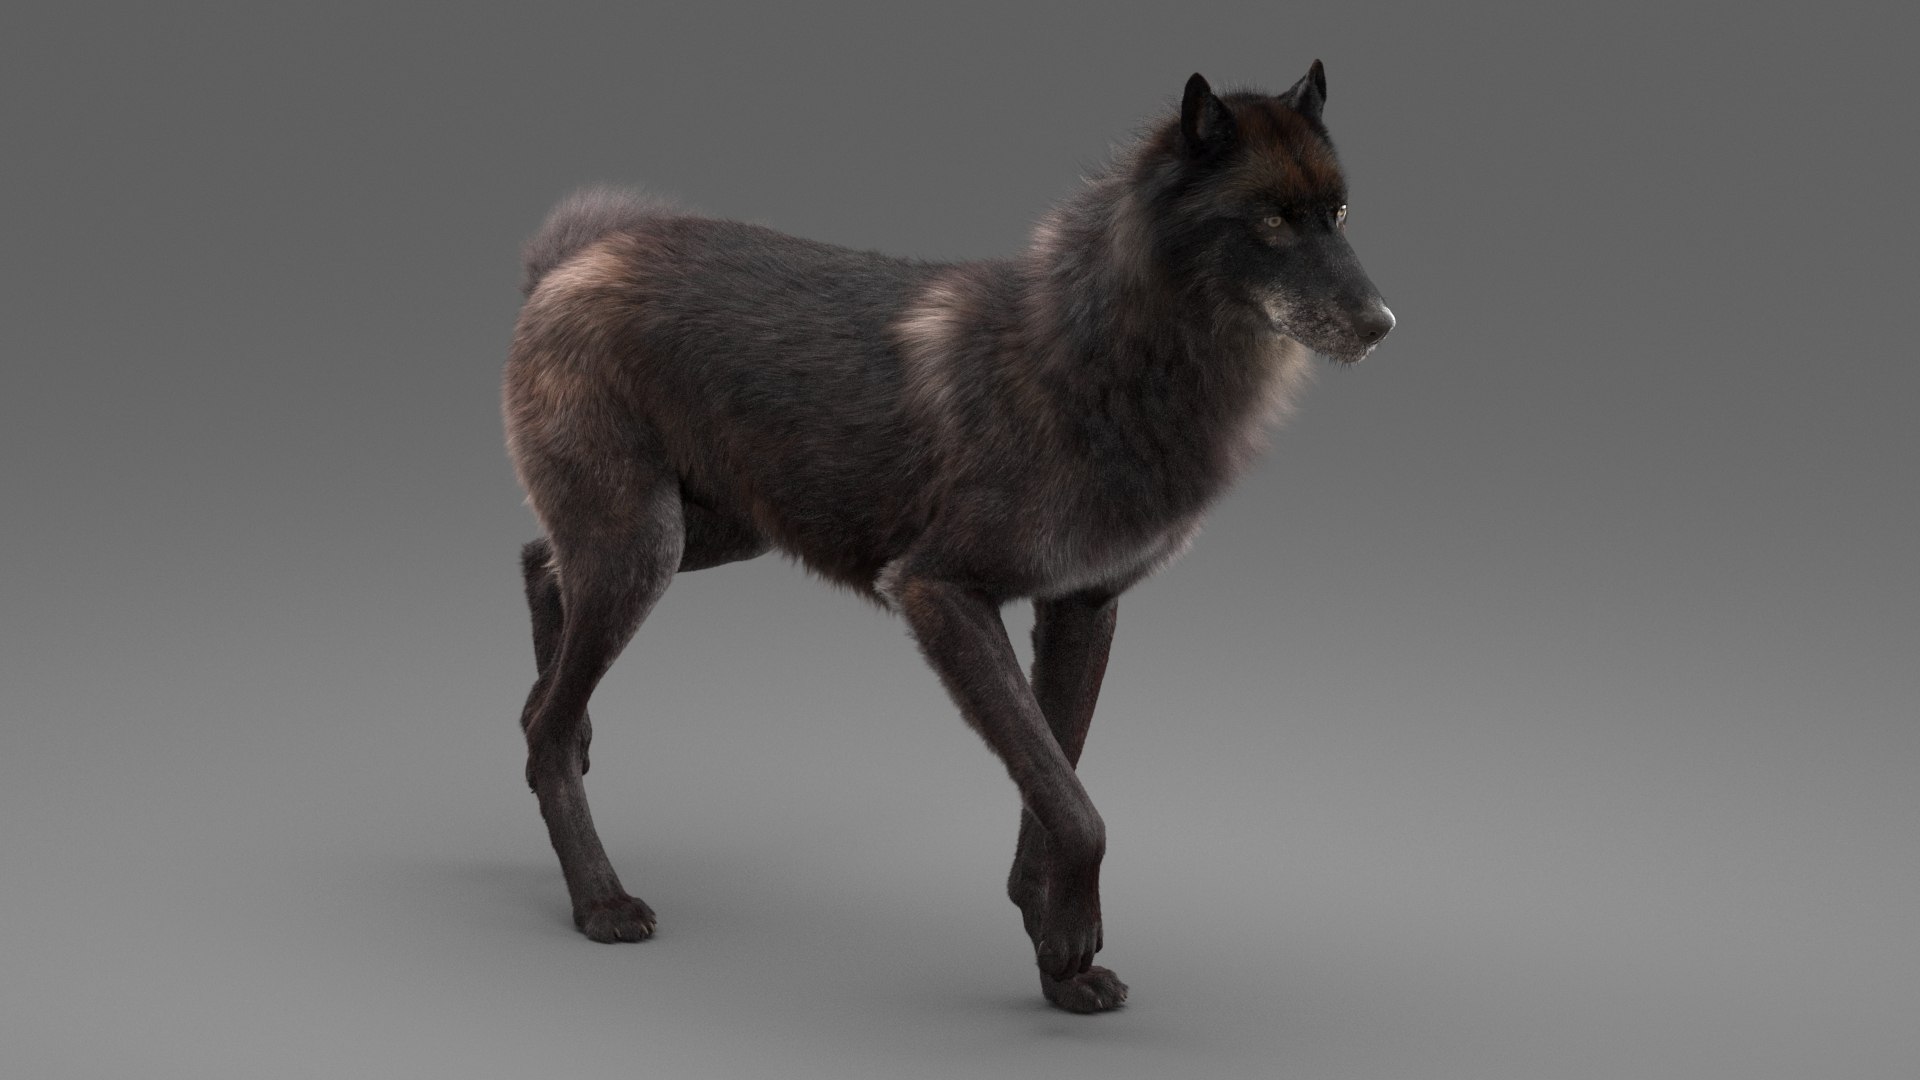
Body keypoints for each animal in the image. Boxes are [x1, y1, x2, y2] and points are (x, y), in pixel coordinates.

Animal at [503, 62, 1393, 1013]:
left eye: (1340, 214)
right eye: (1270, 221)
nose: (1382, 324)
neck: (1106, 361)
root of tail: (569, 259)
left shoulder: (1082, 605)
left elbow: (1056, 771)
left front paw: (1052, 951)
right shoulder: (941, 594)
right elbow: (1077, 803)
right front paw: (1070, 936)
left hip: (706, 534)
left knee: (539, 569)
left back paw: (563, 729)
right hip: (644, 548)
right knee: (547, 713)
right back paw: (599, 897)